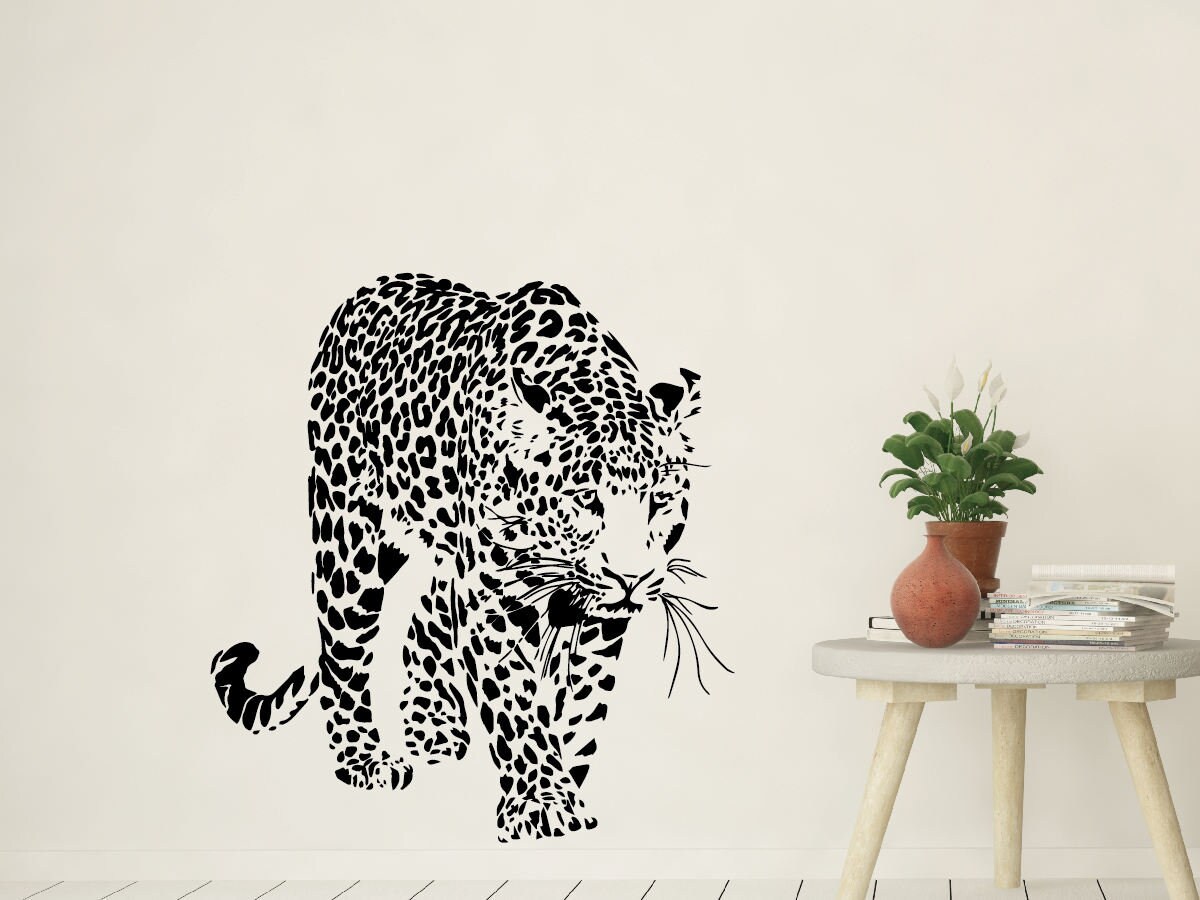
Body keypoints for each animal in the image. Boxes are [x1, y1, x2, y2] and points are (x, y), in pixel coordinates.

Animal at [210, 273, 725, 841]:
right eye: (587, 499)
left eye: (660, 499)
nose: (632, 577)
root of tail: (365, 291)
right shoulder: (491, 592)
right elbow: (515, 702)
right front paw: (543, 803)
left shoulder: (594, 619)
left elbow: (583, 704)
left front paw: (570, 784)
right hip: (349, 537)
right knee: (342, 649)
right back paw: (365, 759)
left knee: (424, 615)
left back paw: (431, 726)